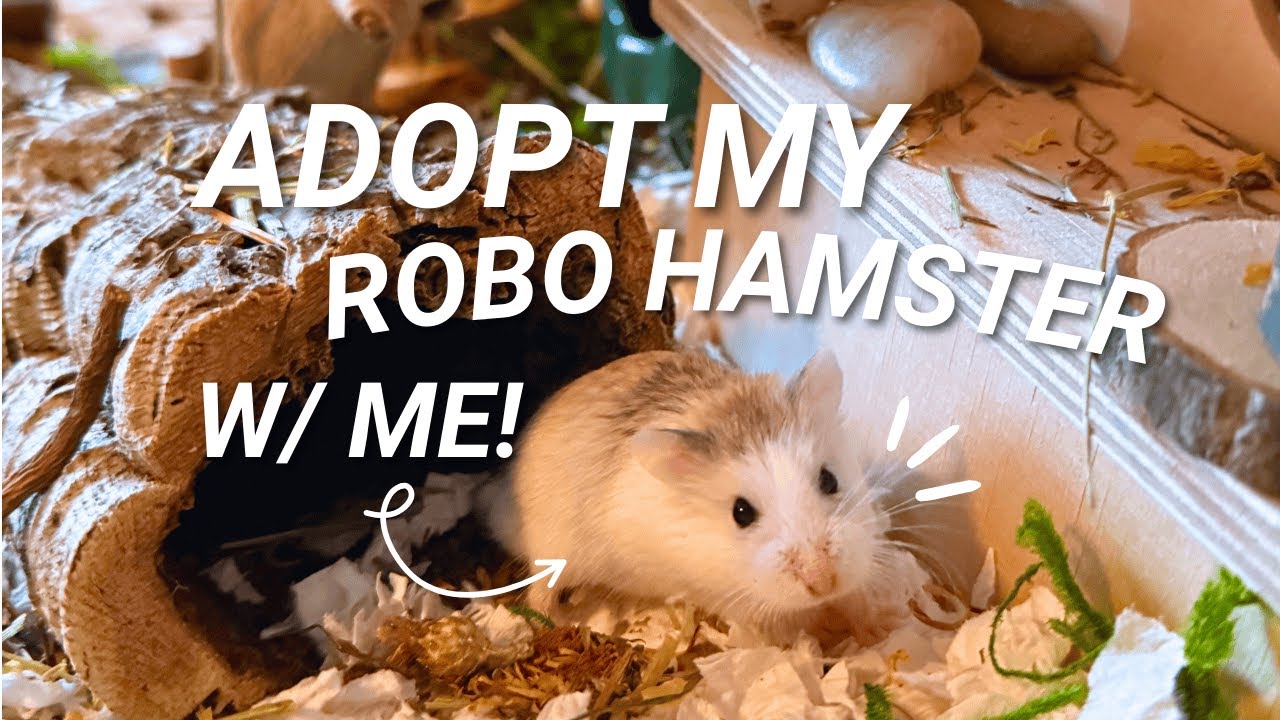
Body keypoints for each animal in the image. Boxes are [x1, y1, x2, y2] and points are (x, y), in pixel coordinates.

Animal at [487, 349, 894, 638]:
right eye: (741, 513)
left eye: (829, 480)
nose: (823, 582)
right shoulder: (715, 591)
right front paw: (817, 631)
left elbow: (857, 597)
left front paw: (877, 630)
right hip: (554, 549)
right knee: (539, 595)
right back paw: (570, 620)